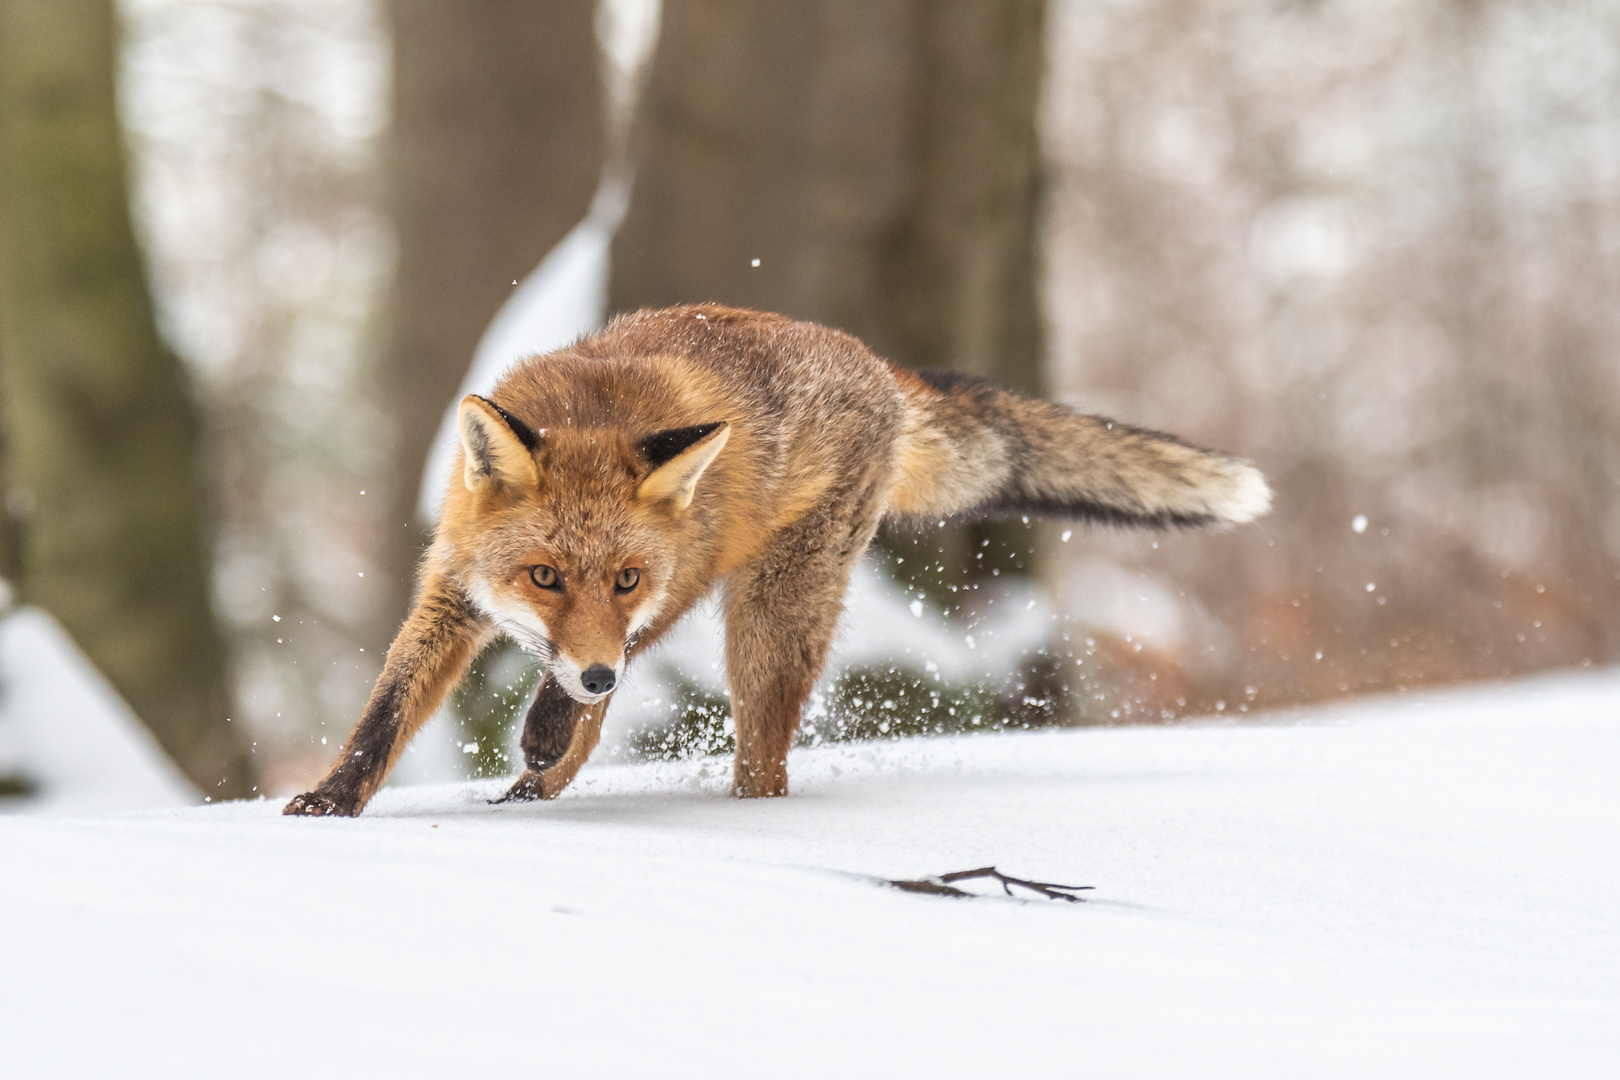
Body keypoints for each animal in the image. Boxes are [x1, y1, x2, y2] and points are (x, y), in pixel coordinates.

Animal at [294, 302, 1276, 809]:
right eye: (544, 576)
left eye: (625, 578)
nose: (600, 674)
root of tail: (879, 370)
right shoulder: (451, 592)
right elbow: (385, 712)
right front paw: (332, 800)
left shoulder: (673, 587)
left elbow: (569, 694)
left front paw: (546, 727)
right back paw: (545, 780)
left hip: (768, 622)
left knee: (761, 765)